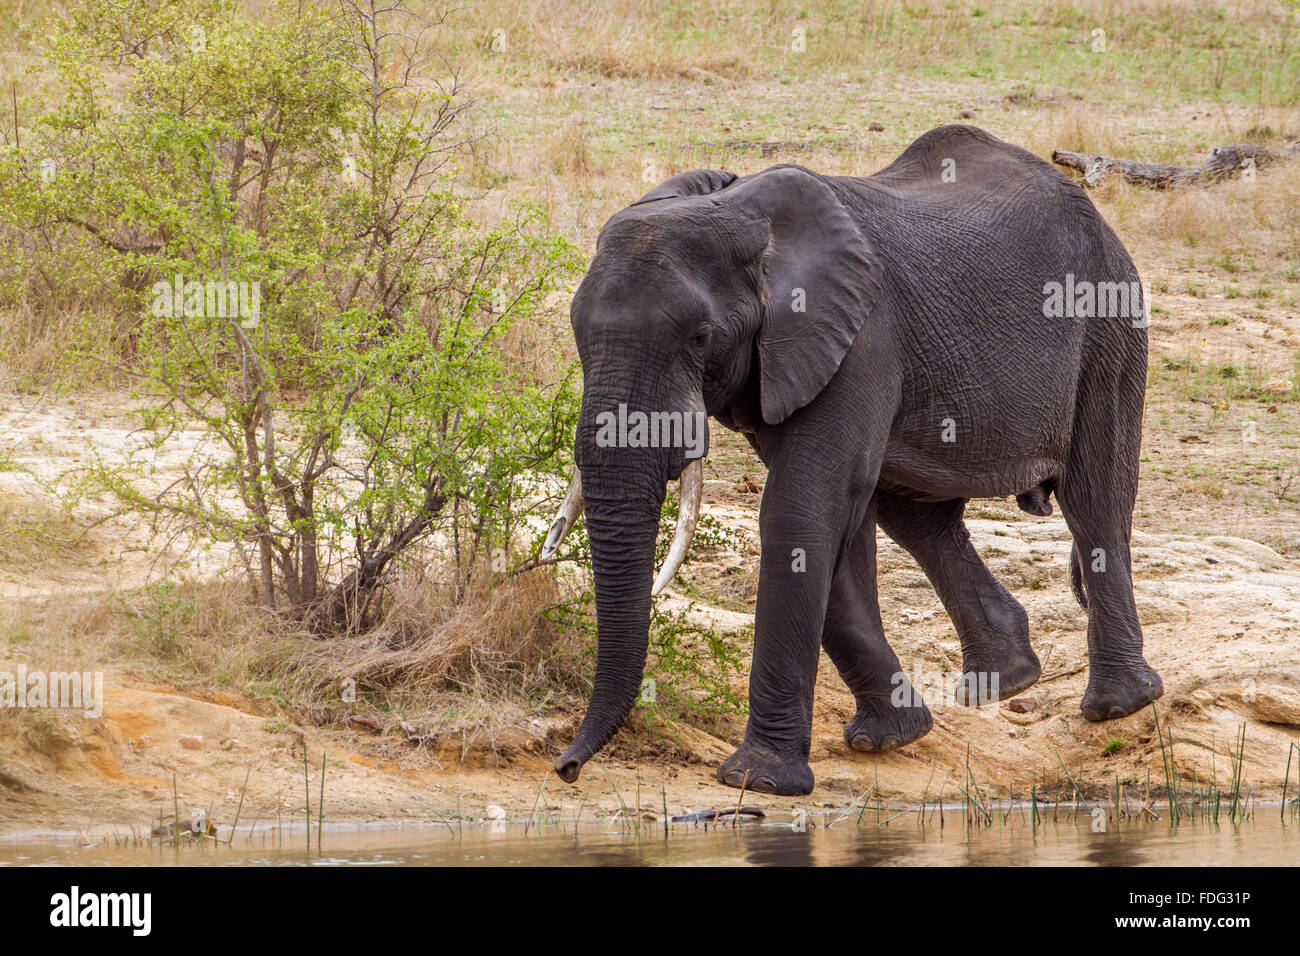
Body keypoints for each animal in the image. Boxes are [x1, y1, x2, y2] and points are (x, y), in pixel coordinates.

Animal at [542, 124, 1163, 797]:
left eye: (700, 338)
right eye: (577, 335)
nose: (567, 768)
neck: (739, 213)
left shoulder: (860, 337)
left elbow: (799, 509)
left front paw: (759, 781)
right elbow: (827, 517)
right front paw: (888, 739)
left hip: (1108, 319)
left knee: (1094, 500)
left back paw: (1117, 706)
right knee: (915, 515)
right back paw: (1005, 682)